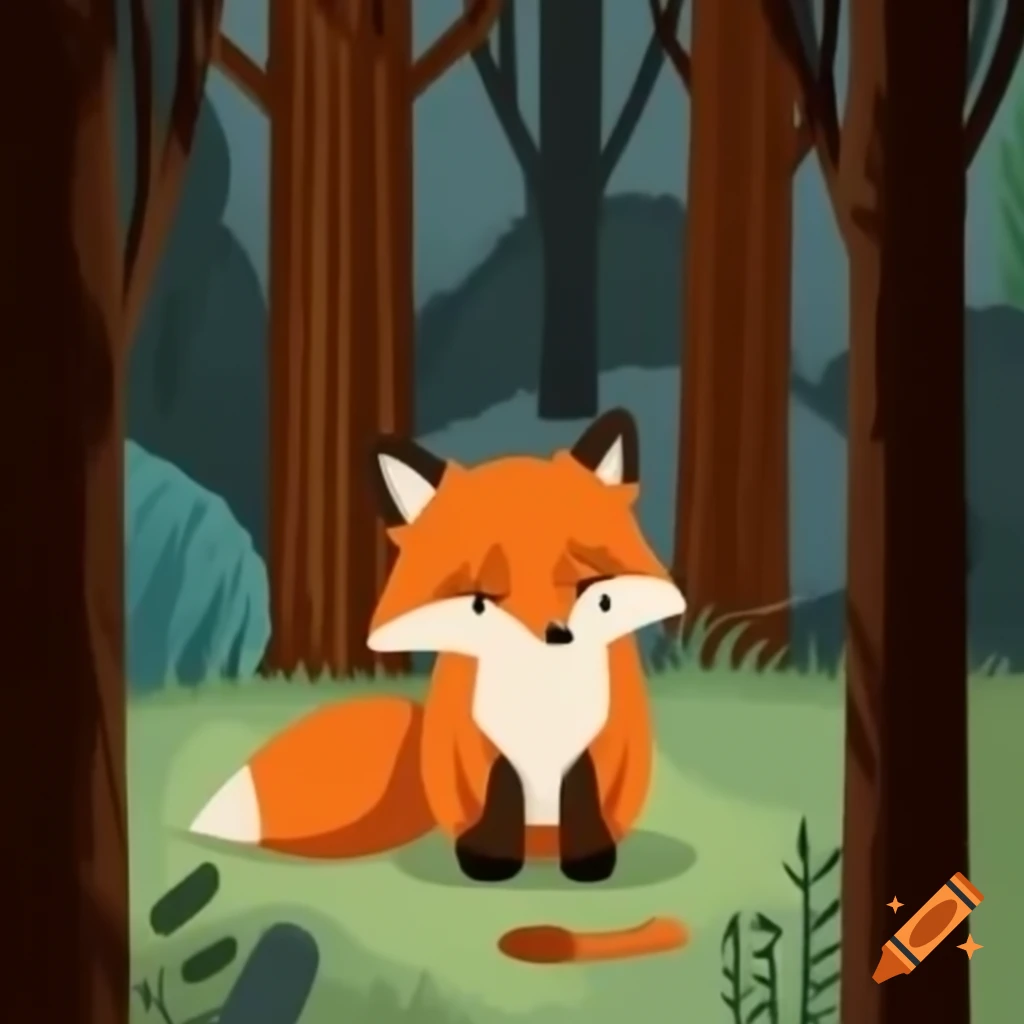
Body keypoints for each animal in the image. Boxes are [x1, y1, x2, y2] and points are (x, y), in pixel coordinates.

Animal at [189, 408, 690, 963]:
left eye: (587, 586)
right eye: (482, 599)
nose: (557, 634)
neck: (540, 699)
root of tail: (540, 842)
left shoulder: (592, 752)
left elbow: (582, 803)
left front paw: (588, 863)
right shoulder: (485, 750)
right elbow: (501, 801)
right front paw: (490, 862)